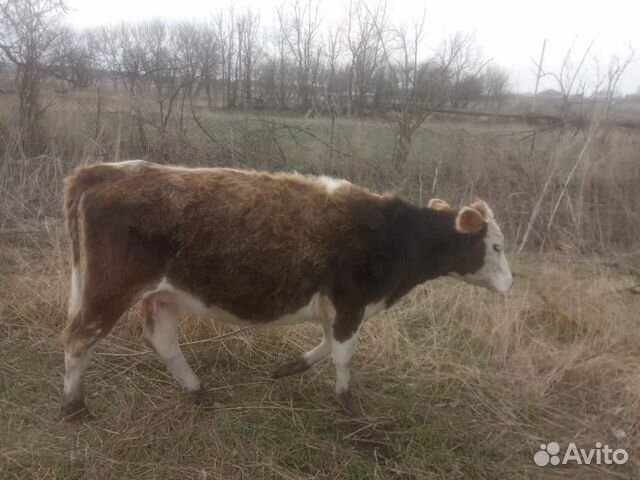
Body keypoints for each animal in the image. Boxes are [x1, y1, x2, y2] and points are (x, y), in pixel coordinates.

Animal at [62, 160, 512, 419]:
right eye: (497, 245)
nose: (510, 284)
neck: (396, 235)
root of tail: (100, 170)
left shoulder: (339, 307)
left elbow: (329, 345)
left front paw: (290, 367)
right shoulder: (350, 302)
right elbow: (344, 354)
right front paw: (348, 403)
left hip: (162, 294)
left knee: (163, 341)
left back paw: (198, 391)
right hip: (110, 288)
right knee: (78, 339)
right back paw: (74, 407)